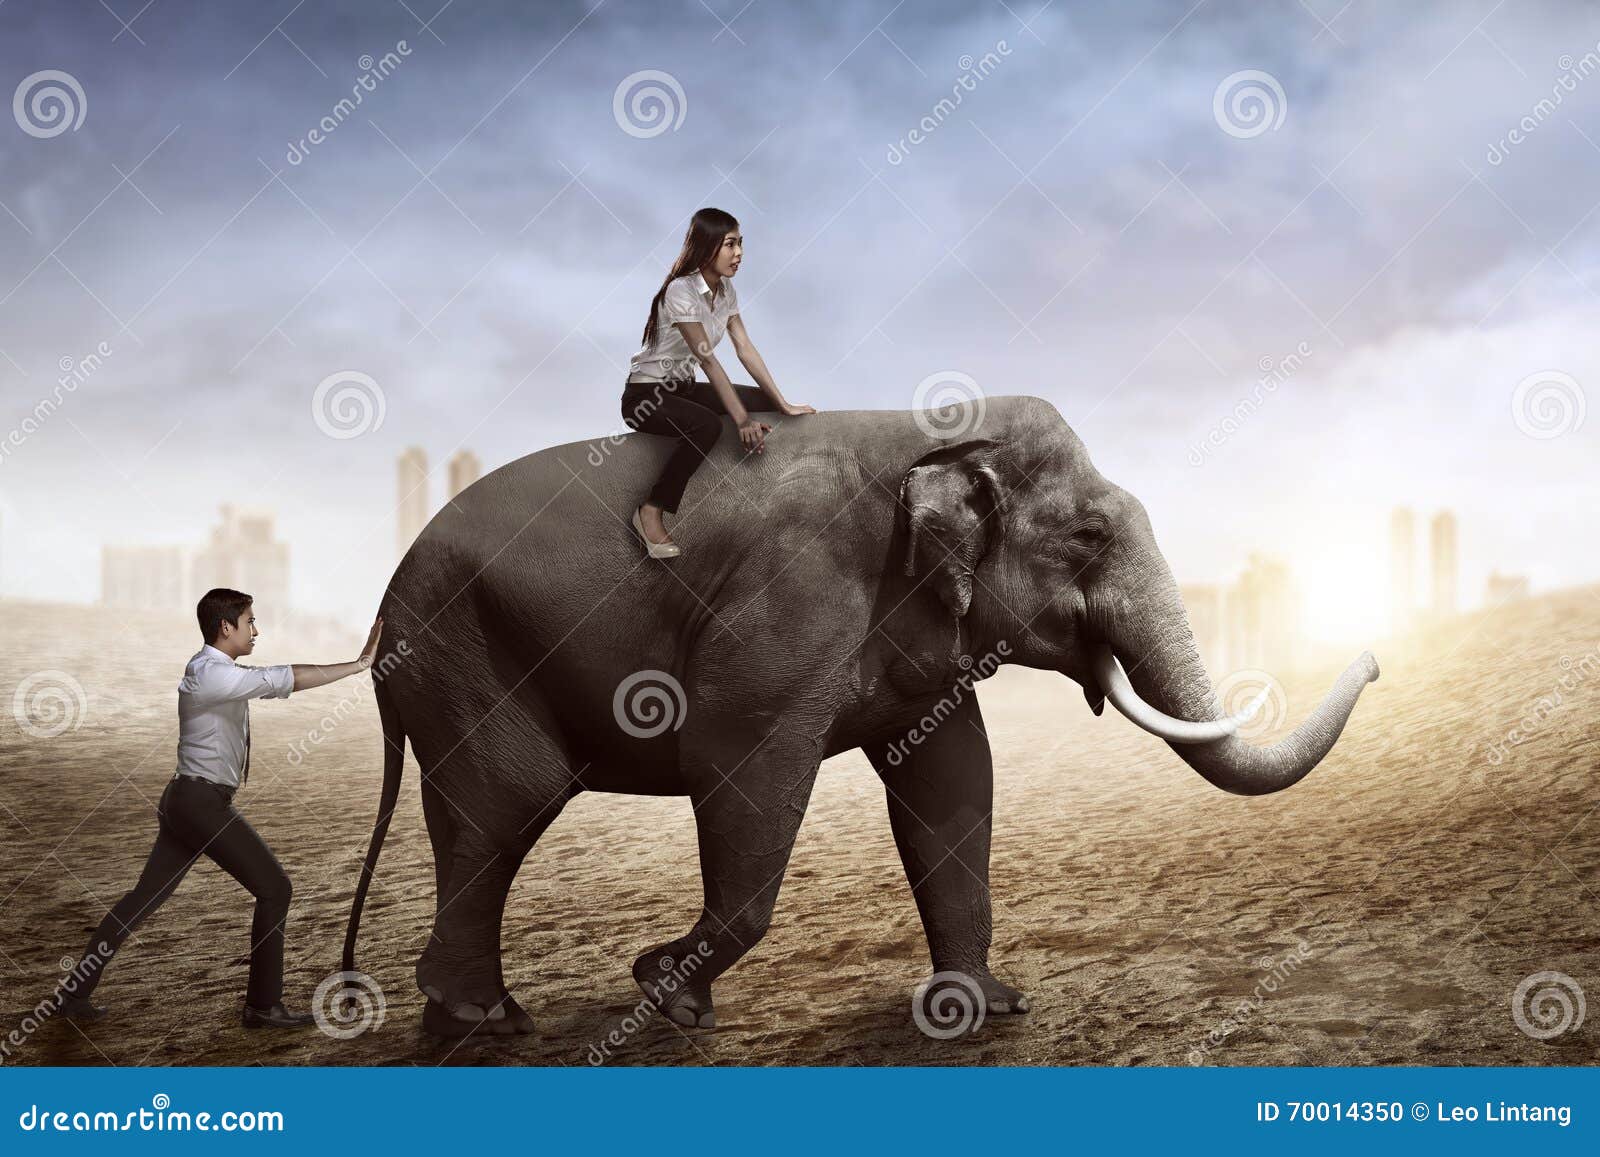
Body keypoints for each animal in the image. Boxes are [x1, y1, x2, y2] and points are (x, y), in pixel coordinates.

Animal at [341, 394, 1379, 1037]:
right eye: (1088, 537)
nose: (1373, 657)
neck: (936, 428)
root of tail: (382, 604)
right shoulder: (793, 597)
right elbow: (739, 758)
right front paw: (667, 997)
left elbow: (953, 776)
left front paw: (985, 1009)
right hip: (460, 644)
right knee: (508, 801)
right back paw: (483, 1020)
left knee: (488, 819)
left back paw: (477, 1018)